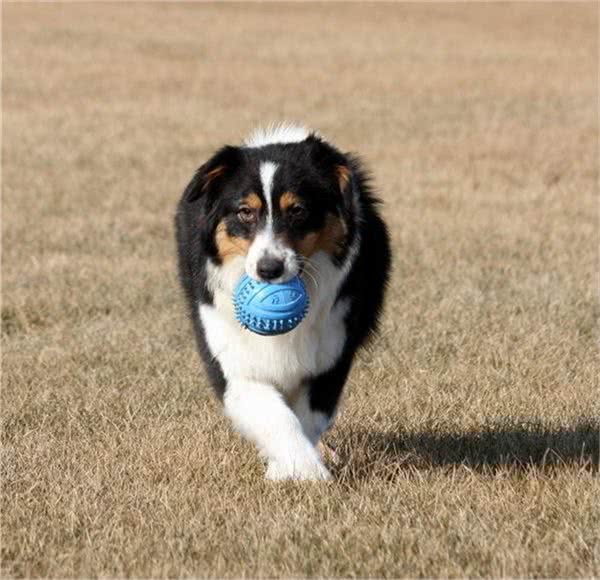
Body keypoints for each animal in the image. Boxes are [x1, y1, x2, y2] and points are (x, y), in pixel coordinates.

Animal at [176, 125, 392, 480]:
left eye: (298, 211)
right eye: (245, 212)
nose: (269, 269)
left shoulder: (331, 353)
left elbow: (306, 418)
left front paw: (300, 469)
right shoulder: (231, 360)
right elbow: (274, 416)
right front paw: (299, 469)